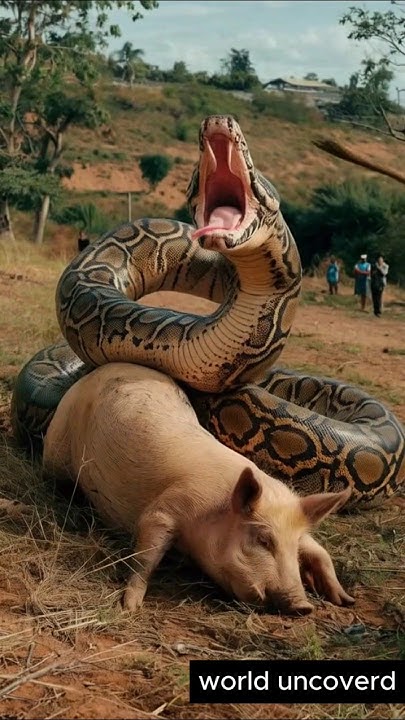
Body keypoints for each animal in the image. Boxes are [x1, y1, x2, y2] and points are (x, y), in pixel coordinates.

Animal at [43, 363, 354, 615]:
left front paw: (345, 600)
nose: (303, 606)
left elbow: (317, 548)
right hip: (57, 447)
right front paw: (130, 606)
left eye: (293, 550)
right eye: (263, 540)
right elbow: (145, 555)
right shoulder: (168, 506)